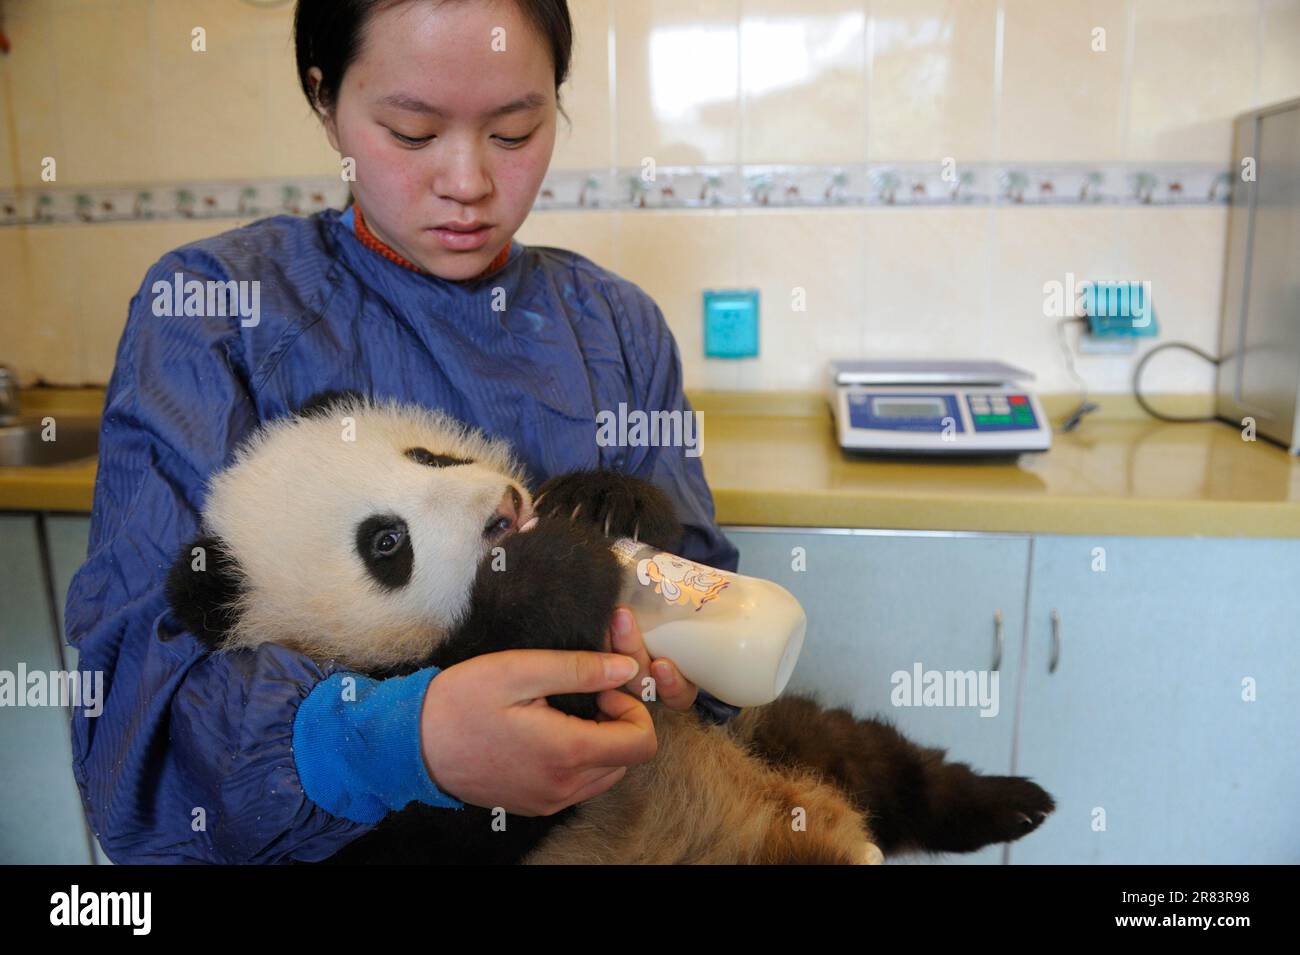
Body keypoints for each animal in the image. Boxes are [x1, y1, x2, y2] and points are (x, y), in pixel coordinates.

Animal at [166, 391, 1055, 864]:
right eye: (385, 544)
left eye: (426, 456)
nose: (503, 510)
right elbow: (450, 820)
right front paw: (554, 571)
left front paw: (601, 500)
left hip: (756, 733)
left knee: (865, 752)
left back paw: (1013, 801)